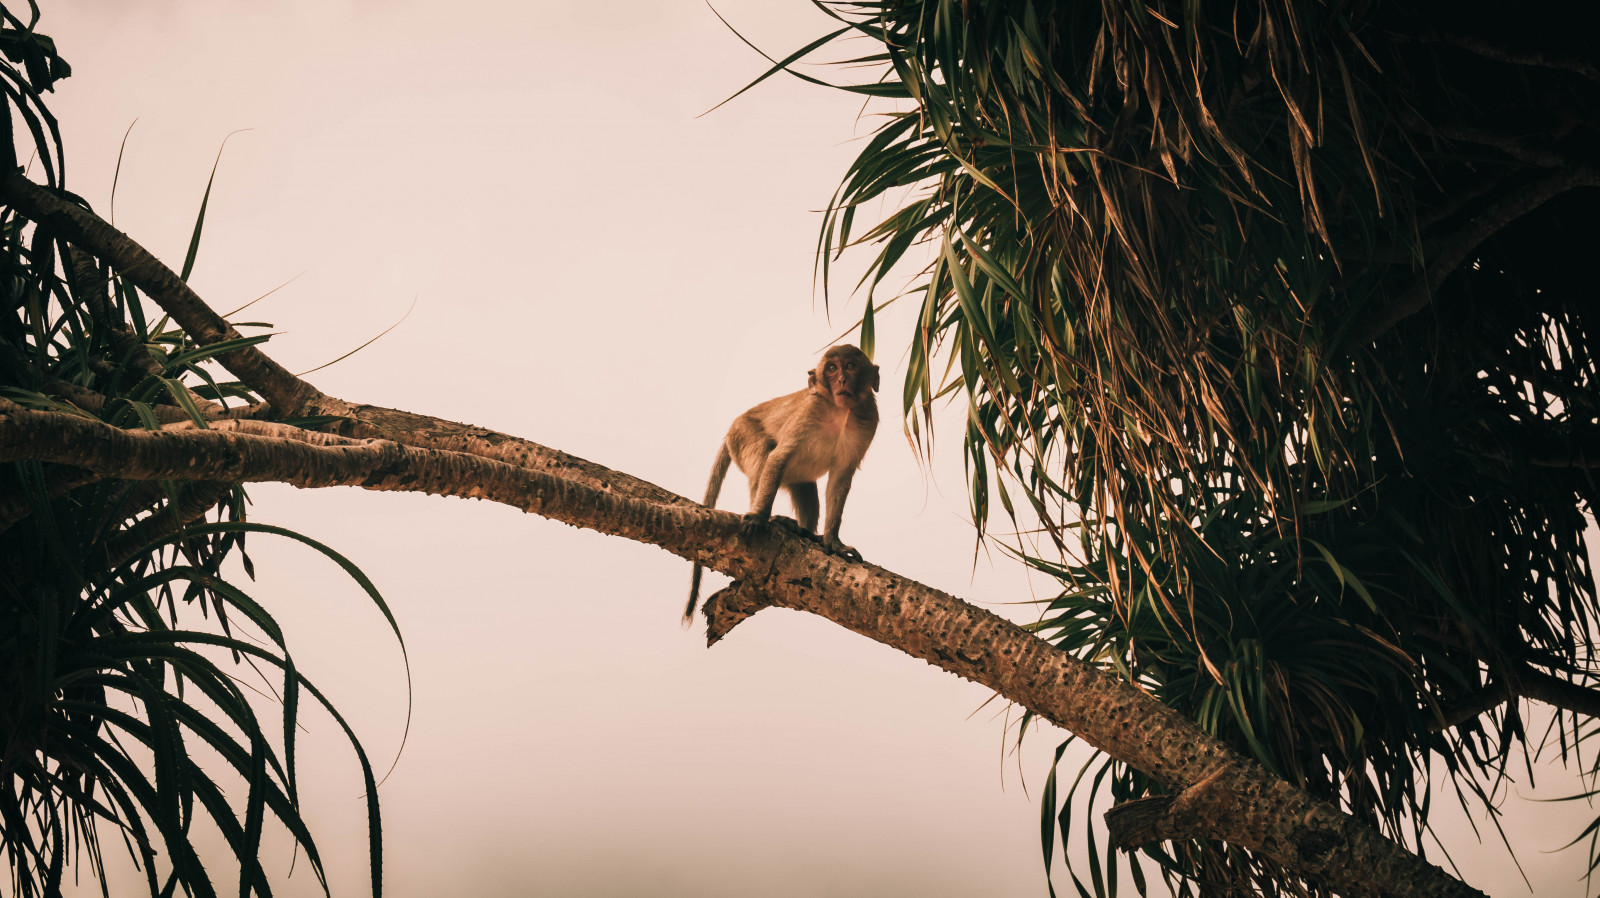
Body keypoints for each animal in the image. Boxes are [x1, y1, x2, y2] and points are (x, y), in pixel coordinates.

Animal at [683, 344, 880, 623]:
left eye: (850, 366)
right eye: (832, 368)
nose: (842, 379)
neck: (840, 412)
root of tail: (731, 429)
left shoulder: (867, 421)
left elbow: (840, 478)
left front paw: (833, 541)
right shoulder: (809, 413)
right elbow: (777, 458)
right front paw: (759, 518)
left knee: (805, 486)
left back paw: (804, 531)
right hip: (742, 434)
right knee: (764, 450)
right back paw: (772, 519)